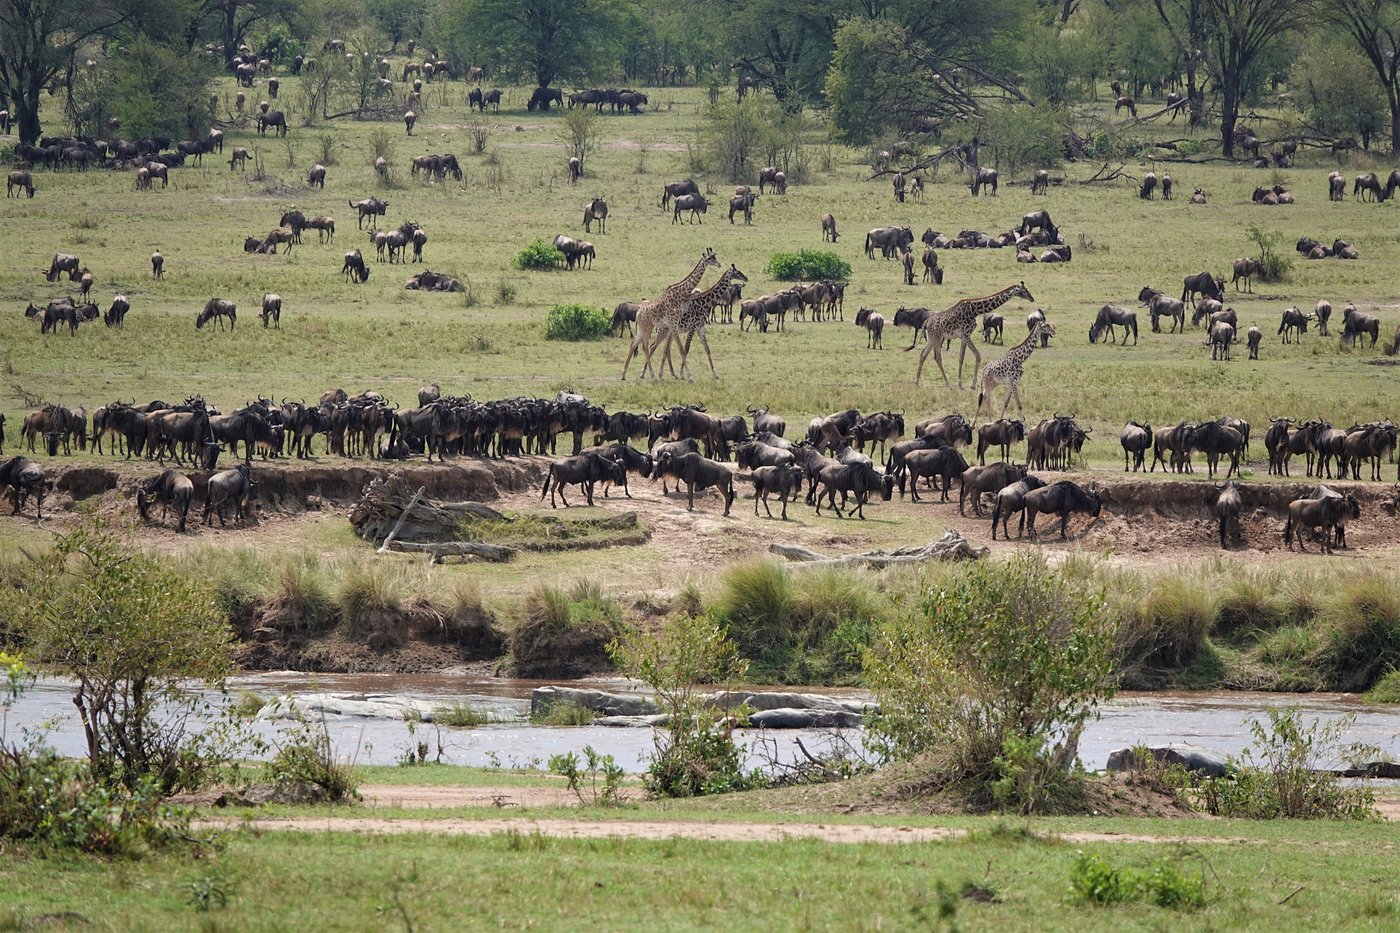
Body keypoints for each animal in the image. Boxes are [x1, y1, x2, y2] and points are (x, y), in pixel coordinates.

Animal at [620, 248, 719, 380]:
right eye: (709, 258)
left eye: (715, 257)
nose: (719, 264)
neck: (680, 294)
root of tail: (638, 312)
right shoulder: (673, 324)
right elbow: (681, 349)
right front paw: (689, 376)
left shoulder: (675, 325)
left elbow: (677, 349)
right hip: (647, 328)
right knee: (646, 347)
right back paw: (651, 374)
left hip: (643, 328)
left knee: (634, 345)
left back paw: (624, 374)